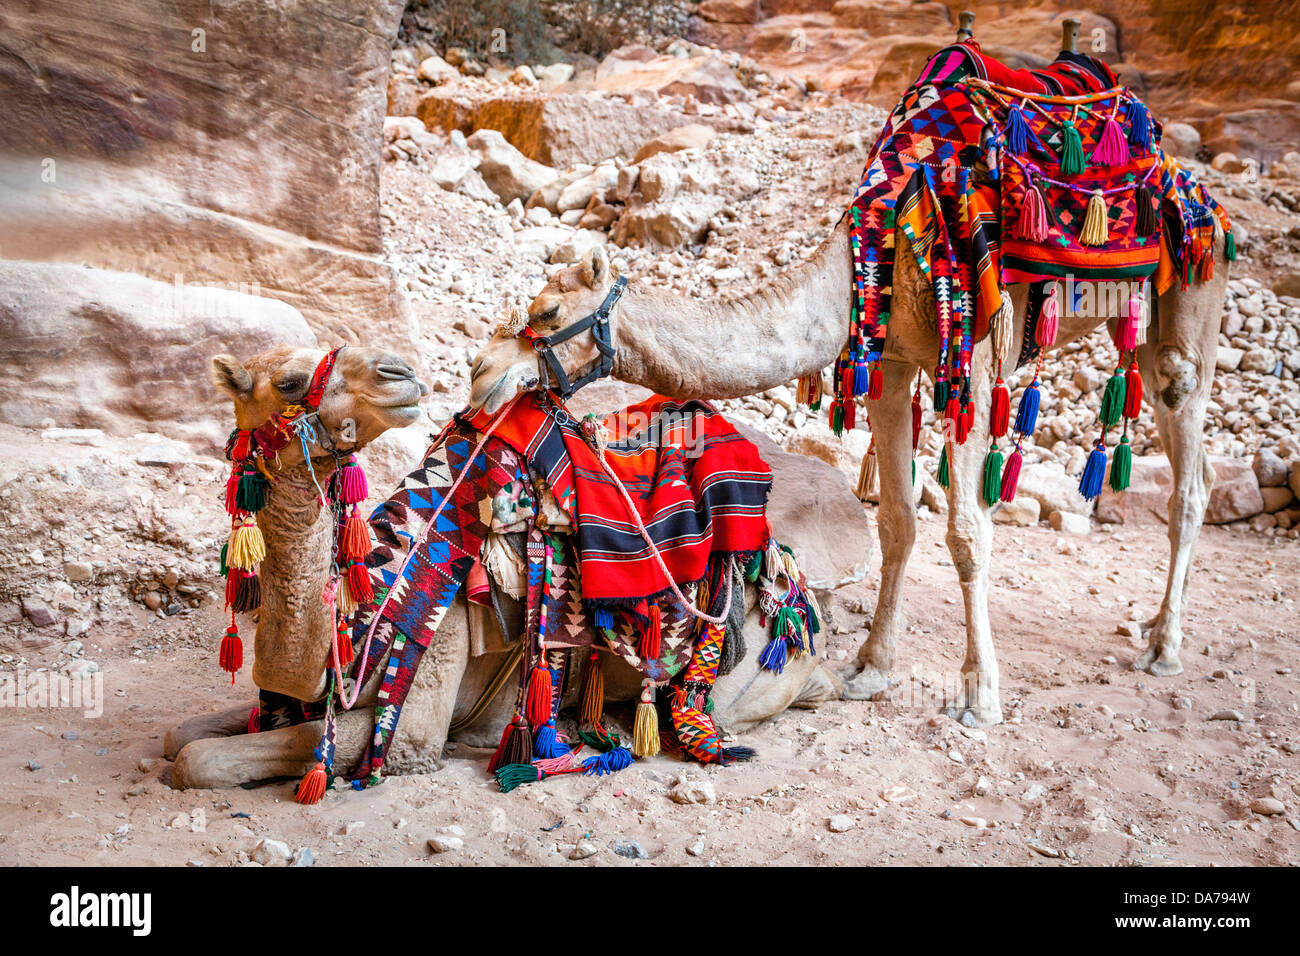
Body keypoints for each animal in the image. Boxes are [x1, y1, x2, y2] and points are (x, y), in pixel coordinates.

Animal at [166, 344, 840, 792]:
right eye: (287, 381)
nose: (397, 372)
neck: (368, 607)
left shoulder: (418, 715)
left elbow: (211, 758)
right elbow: (189, 734)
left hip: (743, 664)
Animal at [469, 206, 1228, 728]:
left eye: (547, 309)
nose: (479, 370)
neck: (864, 265)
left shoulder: (977, 357)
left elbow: (967, 533)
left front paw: (980, 696)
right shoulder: (889, 362)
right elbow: (895, 521)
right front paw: (870, 669)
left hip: (1194, 286)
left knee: (1186, 444)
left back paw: (1166, 647)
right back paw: (1154, 628)